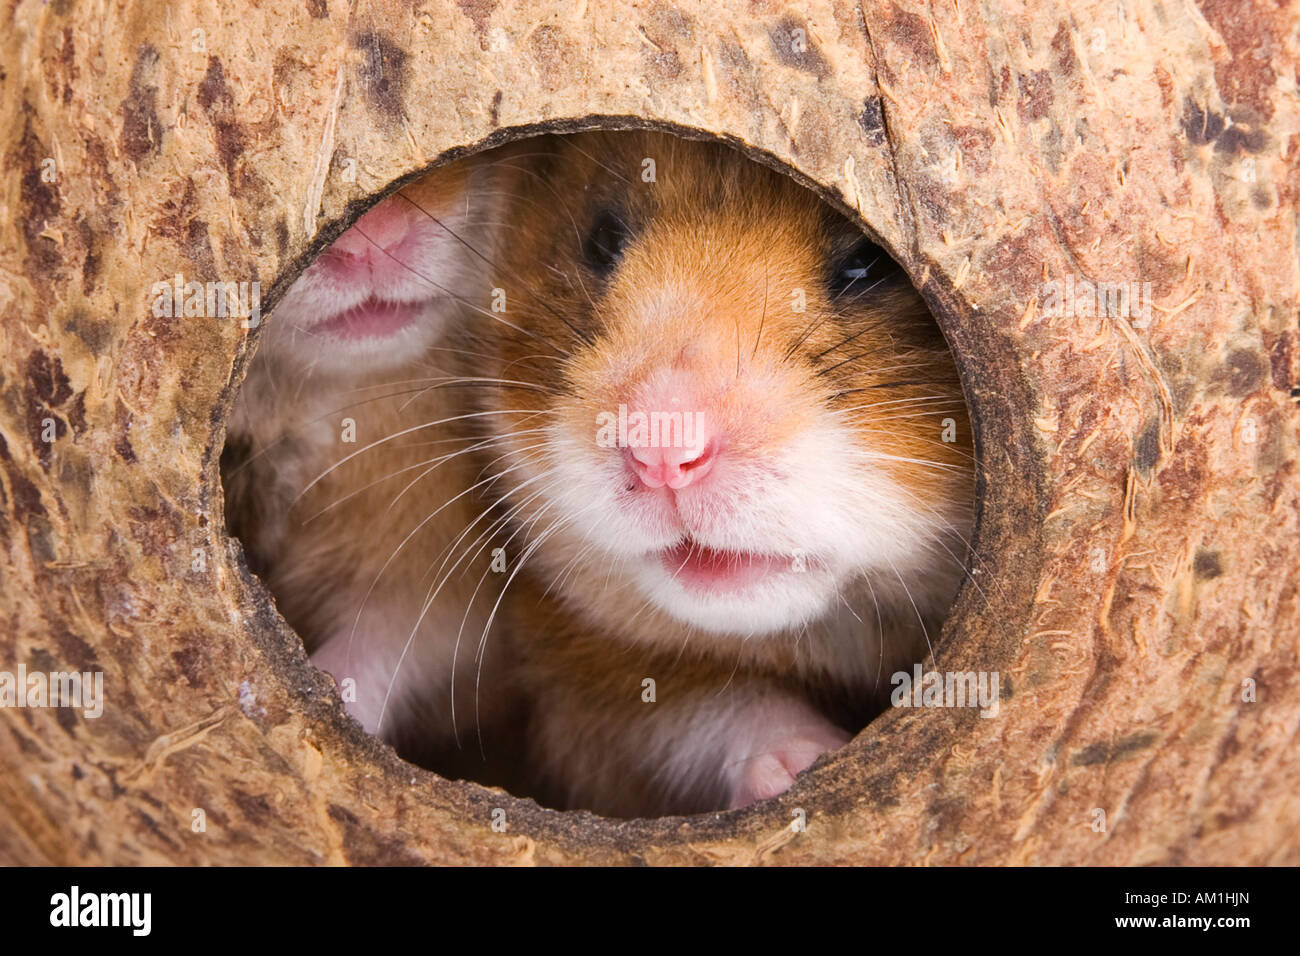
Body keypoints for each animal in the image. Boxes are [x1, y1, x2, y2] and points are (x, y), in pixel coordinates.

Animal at [463, 131, 975, 816]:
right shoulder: (582, 661)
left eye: (870, 263)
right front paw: (800, 765)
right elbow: (710, 704)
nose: (663, 455)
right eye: (601, 240)